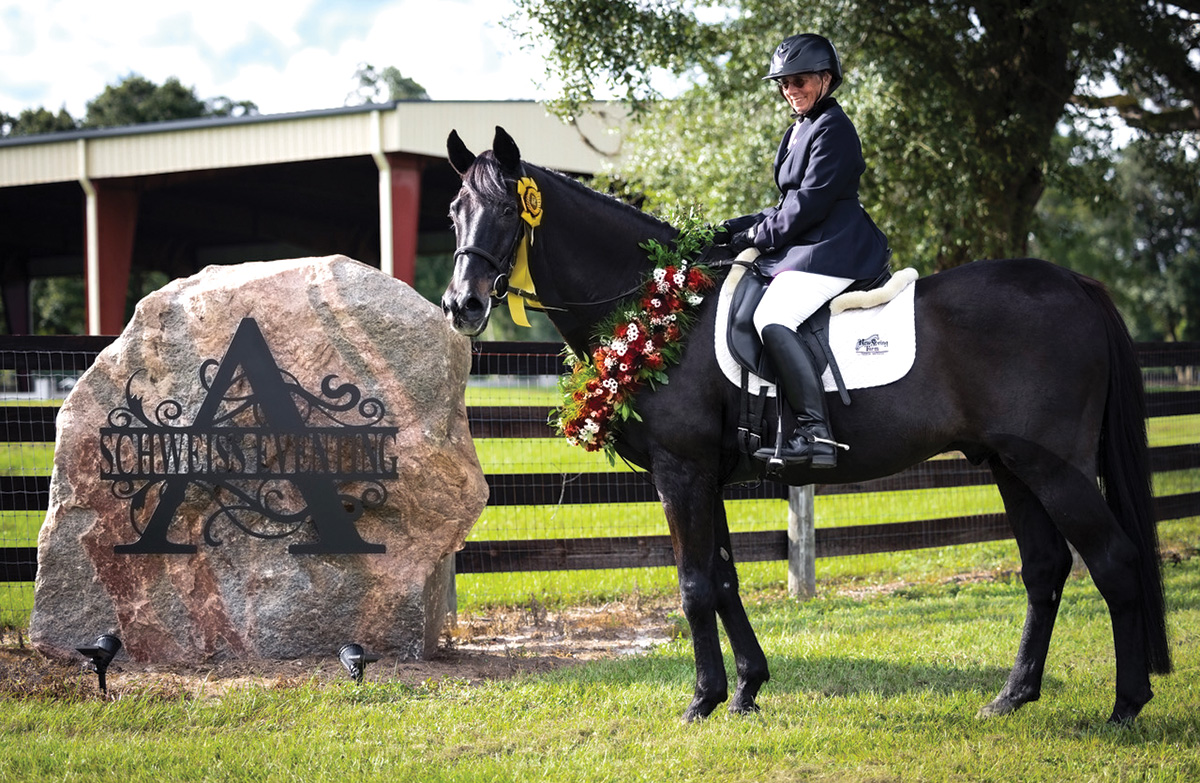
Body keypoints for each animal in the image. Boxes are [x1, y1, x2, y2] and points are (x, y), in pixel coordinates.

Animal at [440, 126, 1171, 724]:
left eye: (507, 211)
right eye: (453, 212)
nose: (461, 305)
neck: (657, 307)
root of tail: (1075, 283)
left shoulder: (681, 473)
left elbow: (694, 585)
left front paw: (701, 700)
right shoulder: (707, 477)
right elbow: (725, 579)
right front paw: (745, 689)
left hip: (1056, 468)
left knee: (1113, 559)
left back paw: (1126, 705)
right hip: (1012, 466)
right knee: (1045, 569)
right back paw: (1012, 696)